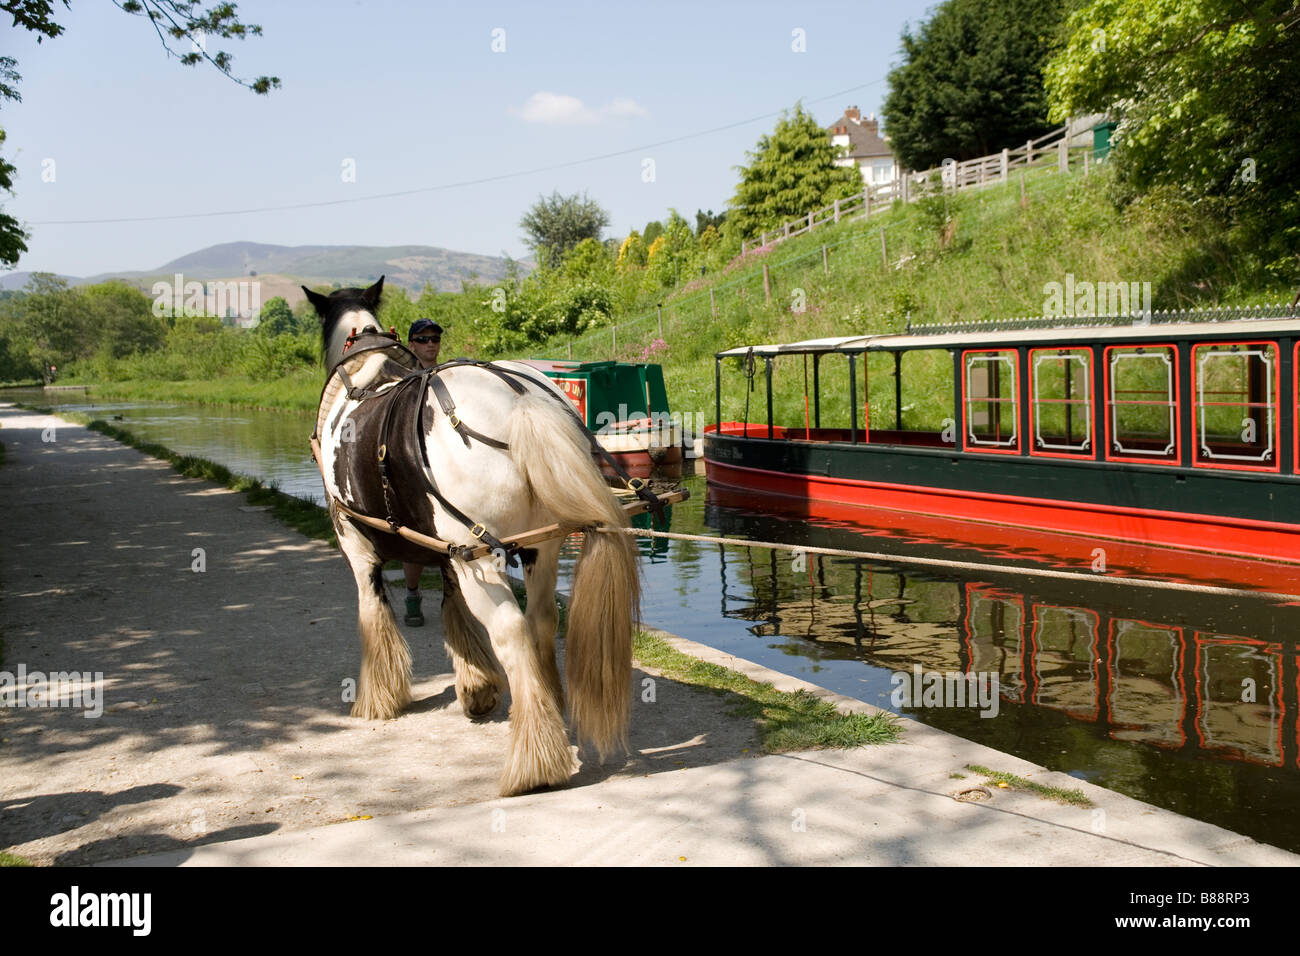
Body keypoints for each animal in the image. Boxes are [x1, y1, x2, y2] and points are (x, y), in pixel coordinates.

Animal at [305, 277, 640, 796]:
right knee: (541, 619)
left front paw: (379, 697)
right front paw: (477, 686)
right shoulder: (449, 551)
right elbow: (452, 610)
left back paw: (534, 763)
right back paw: (547, 708)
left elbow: (373, 614)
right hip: (537, 547)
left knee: (510, 629)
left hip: (480, 557)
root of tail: (519, 399)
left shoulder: (357, 546)